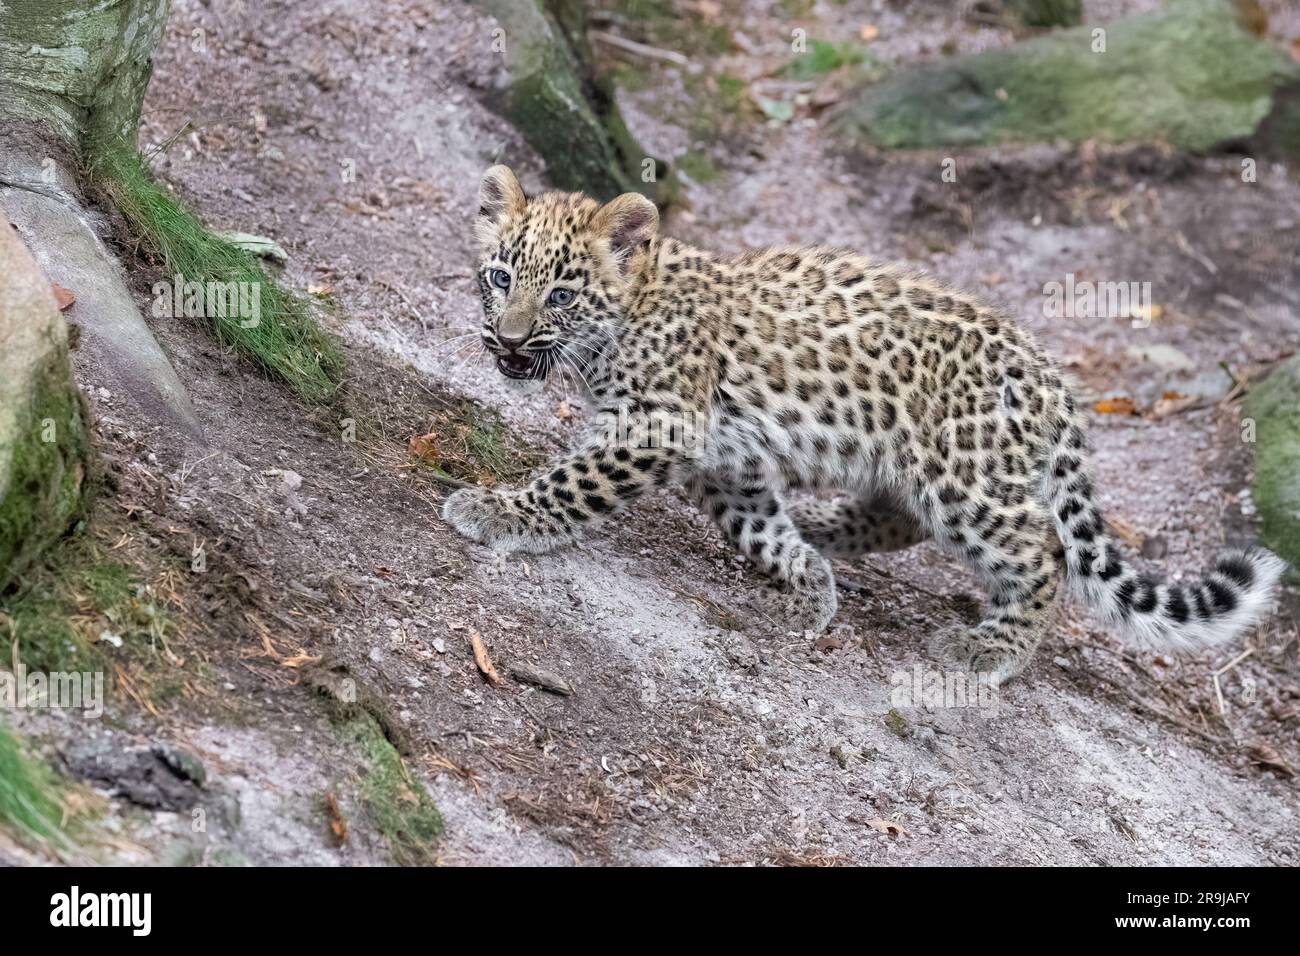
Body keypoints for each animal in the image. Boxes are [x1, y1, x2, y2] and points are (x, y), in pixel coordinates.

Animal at [442, 165, 1286, 684]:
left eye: (560, 295)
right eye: (501, 277)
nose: (508, 339)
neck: (627, 318)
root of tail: (1054, 382)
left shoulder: (656, 423)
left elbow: (574, 482)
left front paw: (499, 512)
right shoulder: (727, 457)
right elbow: (758, 525)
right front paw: (807, 588)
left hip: (965, 474)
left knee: (1039, 549)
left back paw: (992, 648)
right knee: (902, 519)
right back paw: (824, 536)